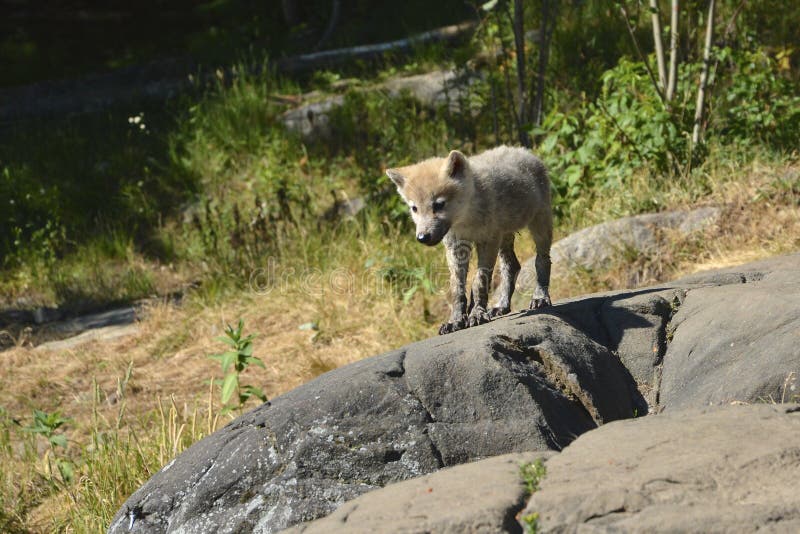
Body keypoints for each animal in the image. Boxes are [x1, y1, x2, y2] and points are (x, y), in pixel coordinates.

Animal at [386, 145, 553, 335]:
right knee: (512, 266)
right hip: (505, 237)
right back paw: (501, 306)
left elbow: (479, 281)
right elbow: (457, 289)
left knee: (542, 260)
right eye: (414, 208)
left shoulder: (487, 241)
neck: (465, 219)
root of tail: (524, 151)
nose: (422, 237)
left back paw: (540, 297)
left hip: (539, 224)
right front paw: (456, 321)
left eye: (439, 204)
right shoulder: (456, 247)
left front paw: (476, 314)